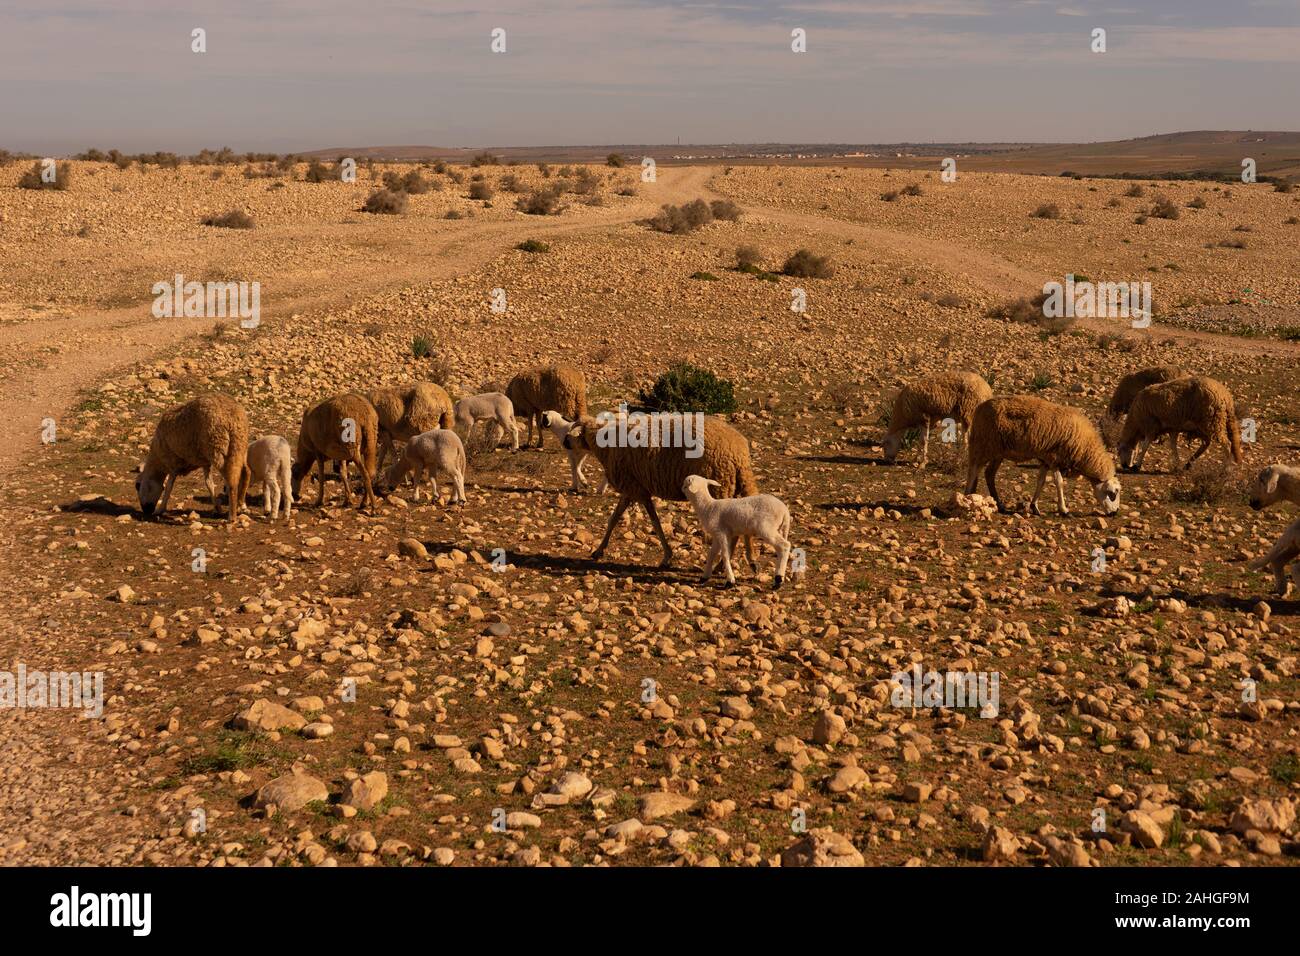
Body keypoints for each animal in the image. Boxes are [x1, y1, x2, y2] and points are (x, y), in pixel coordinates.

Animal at [136, 393, 250, 525]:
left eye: (138, 488)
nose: (146, 511)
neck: (158, 461)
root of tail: (233, 418)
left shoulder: (173, 464)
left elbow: (169, 487)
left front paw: (160, 509)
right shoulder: (205, 462)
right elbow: (209, 484)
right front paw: (217, 507)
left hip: (218, 450)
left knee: (232, 481)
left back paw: (232, 516)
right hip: (239, 447)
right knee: (246, 472)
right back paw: (241, 505)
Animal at [562, 411, 757, 567]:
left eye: (572, 433)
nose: (564, 443)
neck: (605, 446)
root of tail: (739, 454)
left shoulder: (635, 489)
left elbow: (654, 523)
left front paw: (666, 556)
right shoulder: (632, 489)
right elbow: (614, 519)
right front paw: (599, 550)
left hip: (720, 487)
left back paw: (719, 566)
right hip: (730, 486)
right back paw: (726, 565)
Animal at [965, 395, 1121, 516]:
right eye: (1113, 493)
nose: (1115, 513)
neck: (1084, 449)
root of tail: (980, 407)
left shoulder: (1045, 459)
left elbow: (1041, 481)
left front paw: (1034, 507)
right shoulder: (1053, 458)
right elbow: (1059, 482)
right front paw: (1064, 510)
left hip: (998, 452)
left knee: (989, 474)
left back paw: (1000, 505)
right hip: (983, 444)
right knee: (973, 469)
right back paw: (967, 496)